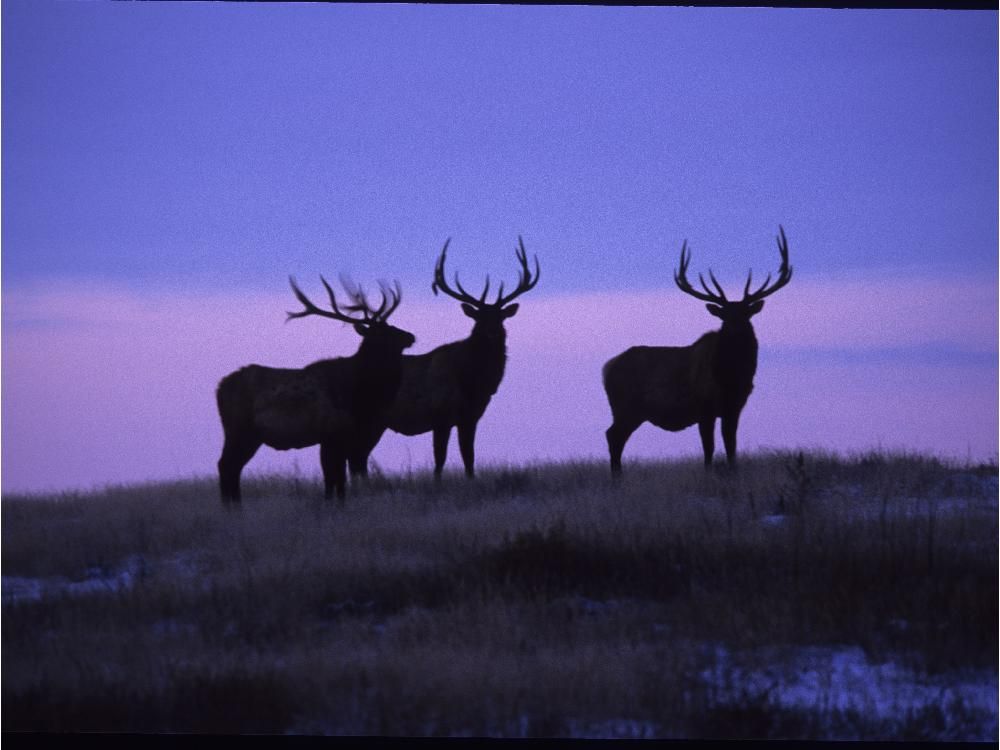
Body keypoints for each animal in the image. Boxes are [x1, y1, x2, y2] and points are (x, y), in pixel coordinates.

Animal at [215, 276, 415, 504]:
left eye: (391, 325)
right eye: (384, 332)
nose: (410, 336)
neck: (360, 395)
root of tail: (219, 388)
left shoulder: (338, 437)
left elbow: (335, 479)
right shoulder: (333, 432)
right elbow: (334, 478)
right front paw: (335, 505)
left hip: (250, 436)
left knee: (233, 467)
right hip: (238, 428)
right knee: (226, 465)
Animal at [348, 237, 540, 481]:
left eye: (500, 318)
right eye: (478, 318)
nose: (492, 332)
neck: (472, 383)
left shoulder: (471, 417)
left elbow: (469, 455)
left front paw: (471, 479)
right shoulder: (440, 414)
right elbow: (440, 457)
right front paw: (437, 483)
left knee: (358, 456)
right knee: (356, 456)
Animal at [603, 226, 793, 477]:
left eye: (746, 314)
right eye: (724, 316)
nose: (735, 330)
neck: (730, 379)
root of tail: (606, 368)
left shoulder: (735, 407)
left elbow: (731, 446)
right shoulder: (704, 406)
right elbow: (709, 449)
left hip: (631, 411)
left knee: (615, 436)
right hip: (625, 406)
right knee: (613, 436)